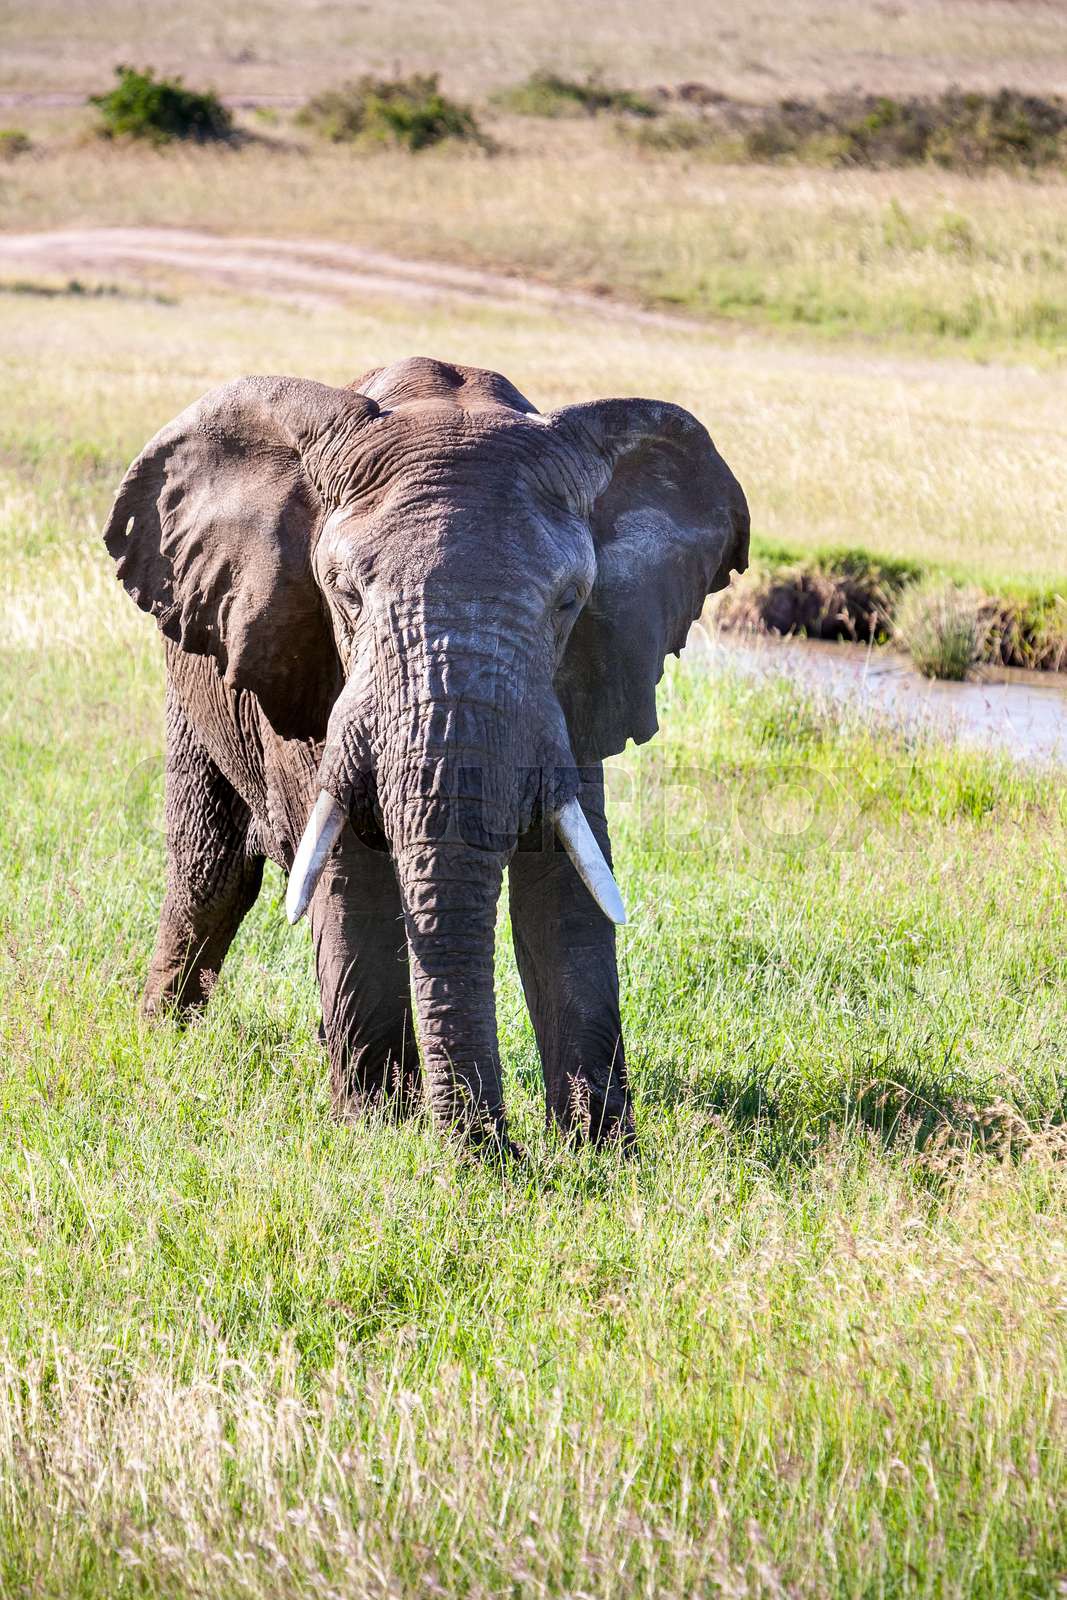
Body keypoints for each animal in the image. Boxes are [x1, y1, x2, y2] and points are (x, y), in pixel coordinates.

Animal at [104, 356, 749, 1152]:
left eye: (569, 602)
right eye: (345, 594)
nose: (497, 1152)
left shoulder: (574, 685)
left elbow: (567, 884)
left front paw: (601, 1154)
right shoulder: (315, 670)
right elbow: (349, 872)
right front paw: (378, 1134)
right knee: (211, 870)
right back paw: (163, 1038)